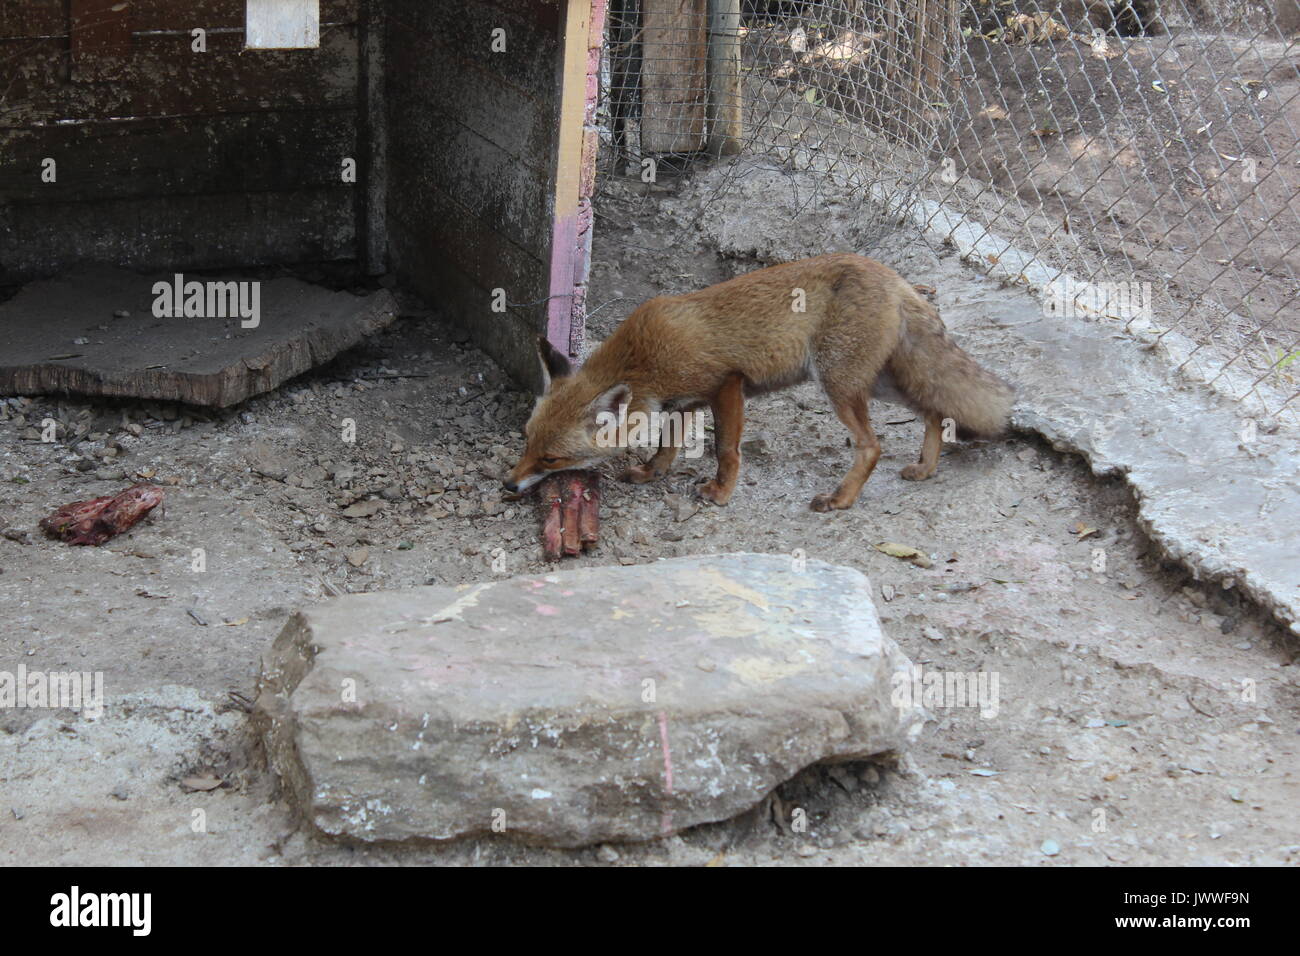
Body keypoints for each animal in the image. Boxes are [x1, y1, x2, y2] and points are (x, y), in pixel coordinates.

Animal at [504, 253, 1013, 511]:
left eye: (551, 458)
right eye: (527, 441)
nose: (508, 485)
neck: (645, 359)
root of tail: (896, 278)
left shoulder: (726, 385)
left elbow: (726, 451)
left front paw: (720, 493)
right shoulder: (682, 403)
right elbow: (666, 445)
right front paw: (651, 474)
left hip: (839, 385)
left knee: (873, 446)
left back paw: (841, 499)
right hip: (879, 382)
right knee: (935, 410)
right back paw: (925, 468)